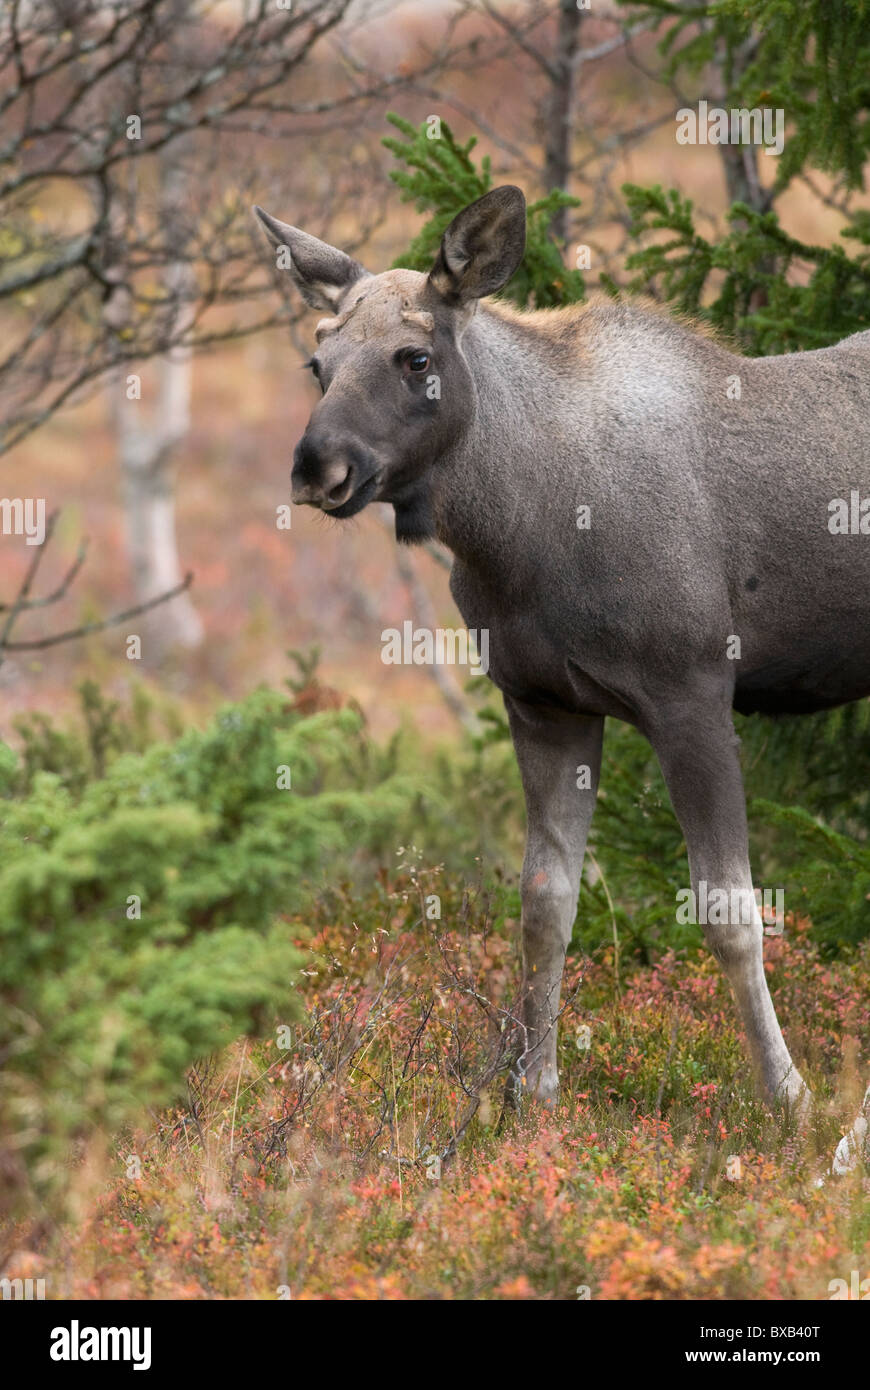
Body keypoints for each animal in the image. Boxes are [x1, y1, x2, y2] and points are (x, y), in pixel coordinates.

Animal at [254, 186, 870, 1171]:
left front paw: (792, 1102)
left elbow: (729, 911)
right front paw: (531, 1096)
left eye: (415, 356)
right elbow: (546, 902)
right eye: (318, 360)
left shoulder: (692, 693)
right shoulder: (545, 704)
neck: (519, 531)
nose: (318, 468)